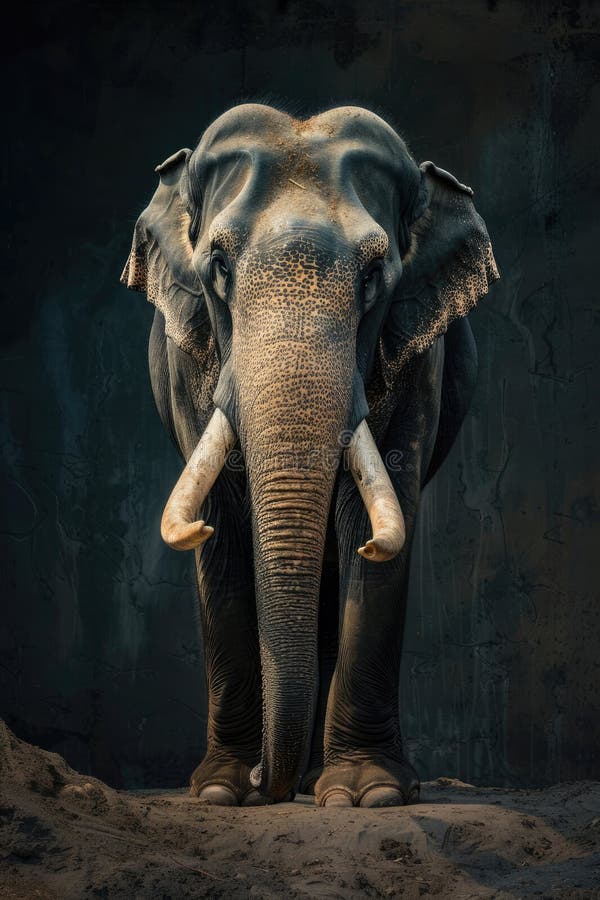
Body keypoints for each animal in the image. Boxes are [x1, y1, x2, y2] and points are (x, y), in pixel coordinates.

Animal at [120, 103, 499, 808]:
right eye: (217, 266)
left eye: (375, 277)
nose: (264, 781)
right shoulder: (191, 363)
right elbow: (221, 528)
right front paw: (221, 791)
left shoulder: (417, 360)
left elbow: (376, 520)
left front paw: (368, 793)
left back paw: (318, 781)